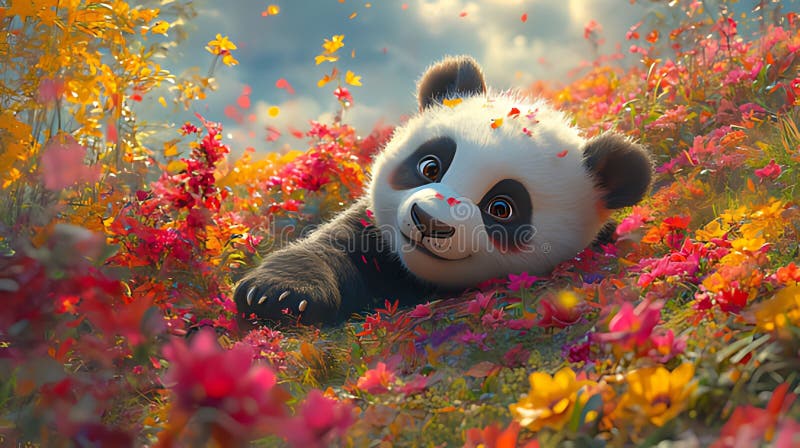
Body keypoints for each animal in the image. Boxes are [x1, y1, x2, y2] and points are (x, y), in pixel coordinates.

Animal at [234, 56, 652, 326]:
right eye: (430, 166)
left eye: (502, 207)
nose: (430, 221)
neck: (418, 279)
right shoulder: (371, 232)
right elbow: (328, 247)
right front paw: (278, 295)